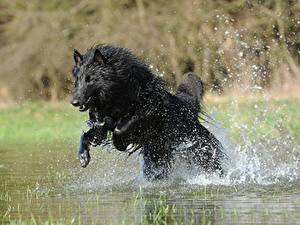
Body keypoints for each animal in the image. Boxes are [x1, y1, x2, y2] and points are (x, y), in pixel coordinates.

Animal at [71, 44, 225, 180]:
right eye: (77, 80)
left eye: (90, 80)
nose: (74, 102)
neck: (119, 93)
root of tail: (188, 110)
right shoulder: (101, 126)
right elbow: (86, 136)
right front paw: (83, 156)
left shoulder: (146, 112)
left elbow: (120, 130)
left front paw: (120, 144)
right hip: (156, 160)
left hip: (202, 153)